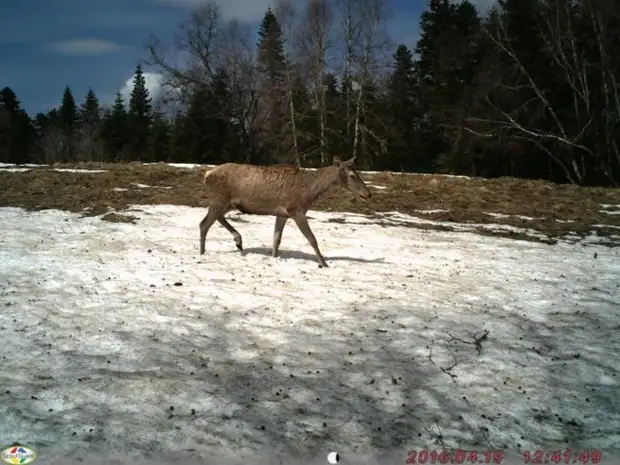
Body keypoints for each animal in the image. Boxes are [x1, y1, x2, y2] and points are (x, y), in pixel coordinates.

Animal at [201, 155, 370, 266]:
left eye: (358, 173)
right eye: (352, 175)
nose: (368, 194)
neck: (310, 193)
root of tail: (207, 175)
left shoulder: (282, 213)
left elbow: (277, 239)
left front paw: (275, 258)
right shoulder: (296, 210)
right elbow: (312, 238)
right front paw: (323, 263)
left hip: (228, 203)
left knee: (217, 218)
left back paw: (238, 241)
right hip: (219, 199)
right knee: (204, 224)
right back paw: (202, 253)